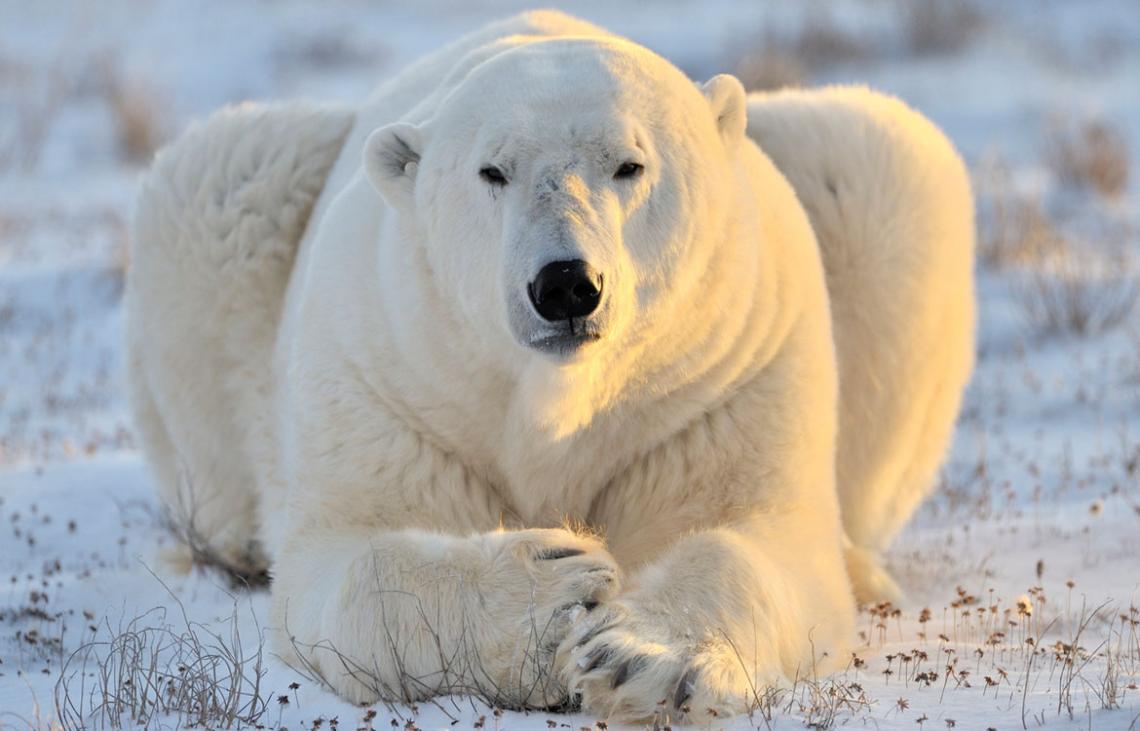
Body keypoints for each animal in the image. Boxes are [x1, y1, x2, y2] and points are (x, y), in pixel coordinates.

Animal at [125, 9, 974, 723]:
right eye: (491, 171)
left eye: (630, 164)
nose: (565, 283)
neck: (560, 402)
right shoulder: (388, 374)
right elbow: (349, 556)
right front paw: (555, 591)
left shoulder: (727, 376)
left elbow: (755, 535)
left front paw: (641, 658)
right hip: (235, 211)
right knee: (219, 179)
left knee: (880, 155)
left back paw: (866, 569)